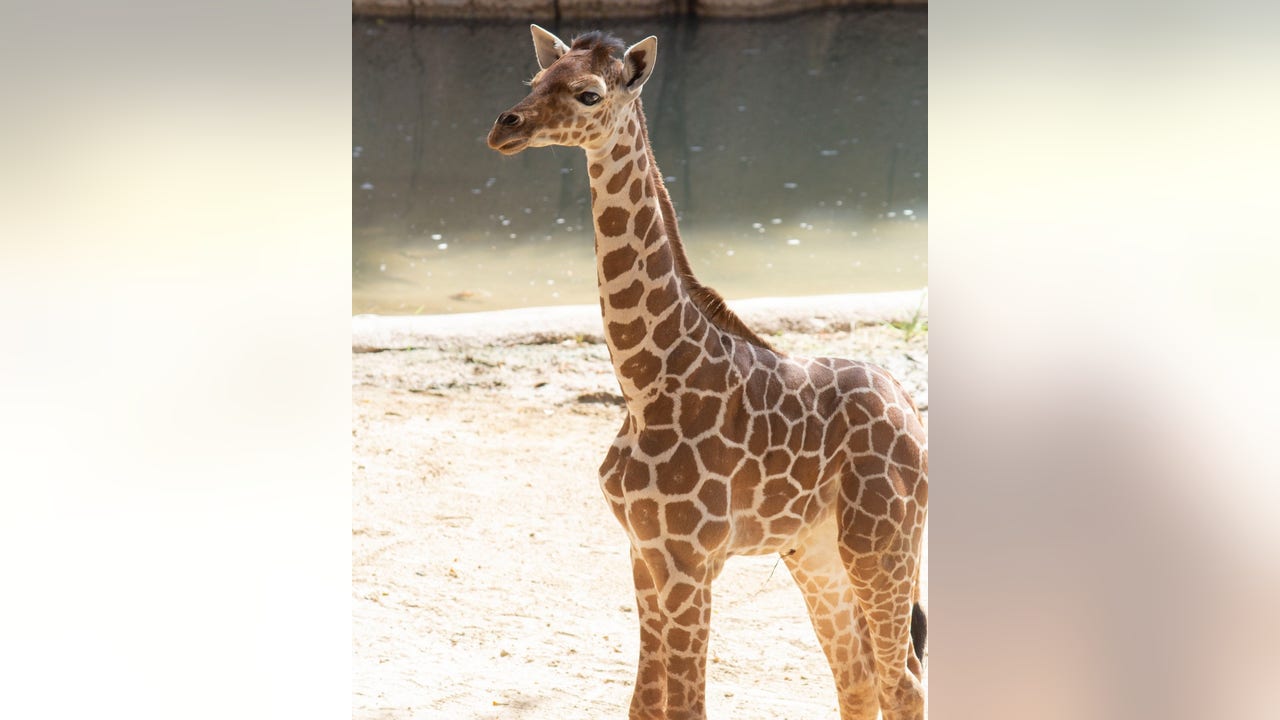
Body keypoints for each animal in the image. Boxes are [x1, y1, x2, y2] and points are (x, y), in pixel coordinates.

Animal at [487, 26, 928, 720]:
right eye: (535, 81)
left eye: (589, 94)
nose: (504, 127)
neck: (646, 381)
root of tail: (910, 409)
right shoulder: (644, 552)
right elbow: (645, 706)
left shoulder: (692, 560)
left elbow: (687, 705)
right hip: (818, 552)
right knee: (858, 677)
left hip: (881, 543)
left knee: (902, 679)